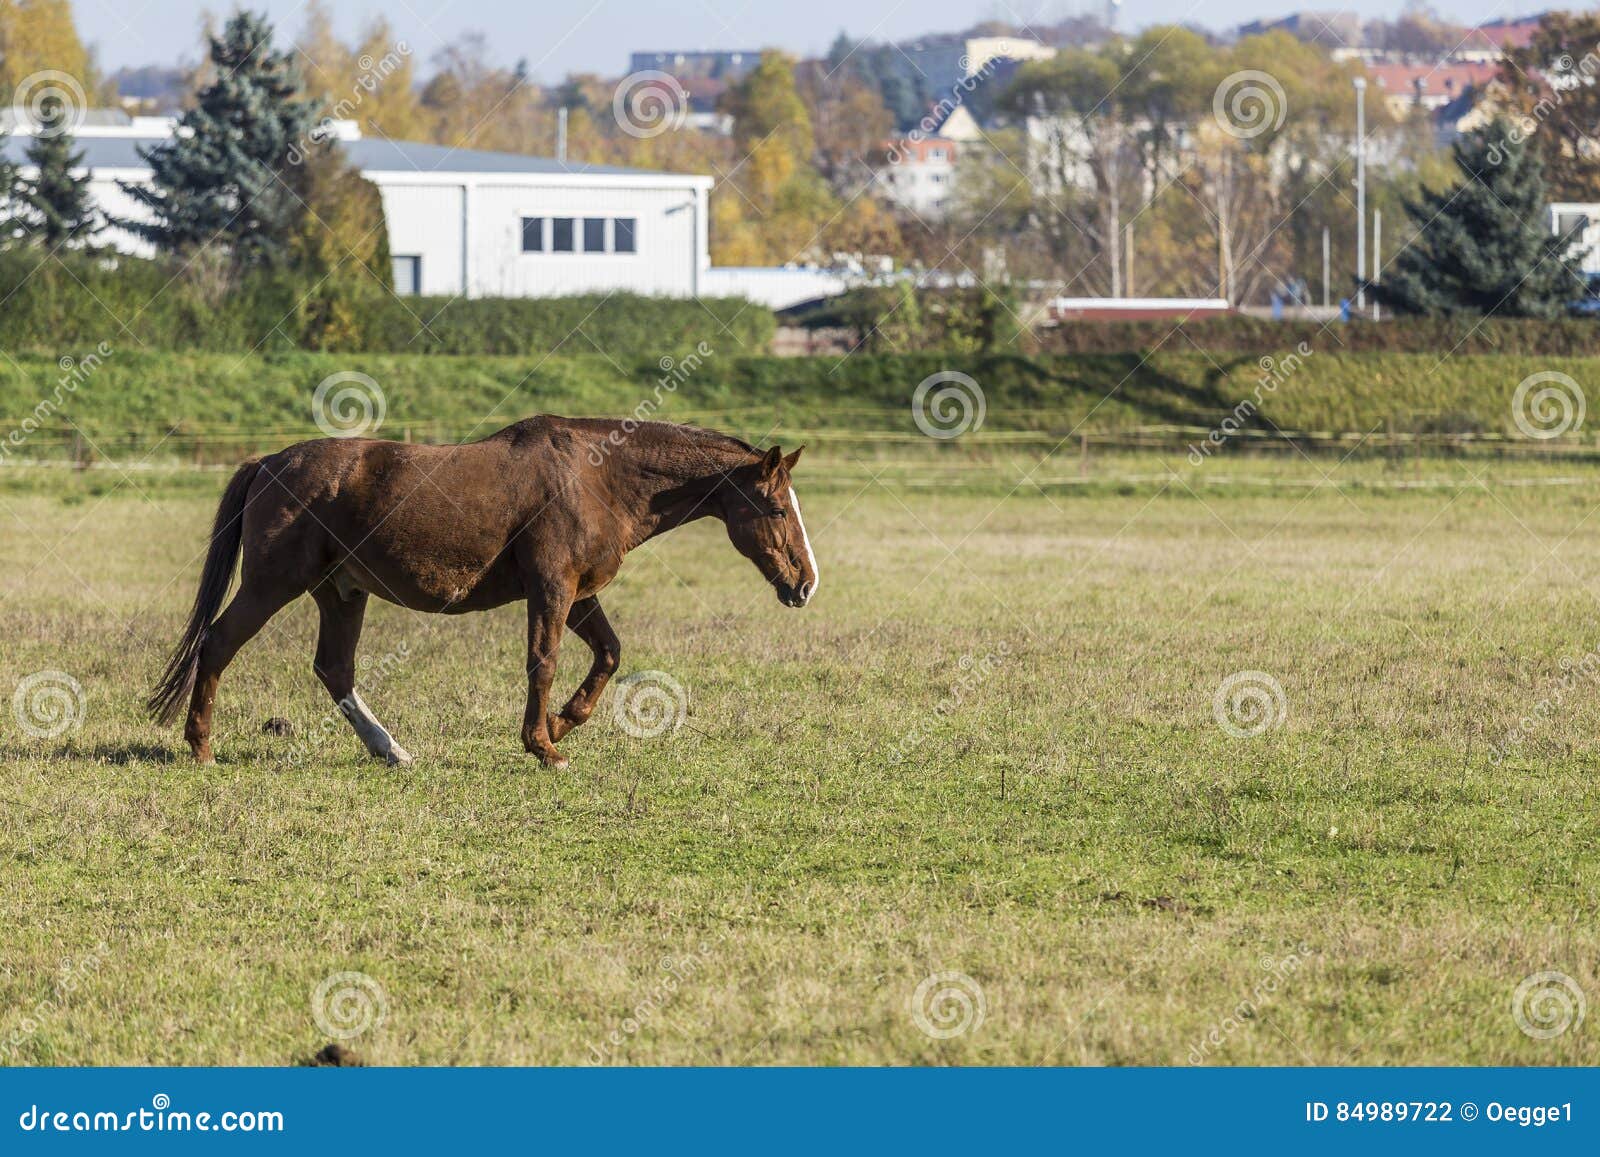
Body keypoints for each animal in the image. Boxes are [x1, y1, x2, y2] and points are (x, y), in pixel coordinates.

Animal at [147, 417, 819, 768]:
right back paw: (201, 747)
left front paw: (562, 724)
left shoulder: (578, 593)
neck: (598, 476)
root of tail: (270, 462)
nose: (806, 584)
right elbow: (542, 663)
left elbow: (608, 655)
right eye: (777, 508)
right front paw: (543, 746)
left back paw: (390, 750)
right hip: (272, 584)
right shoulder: (551, 588)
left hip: (342, 593)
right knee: (218, 644)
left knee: (334, 670)